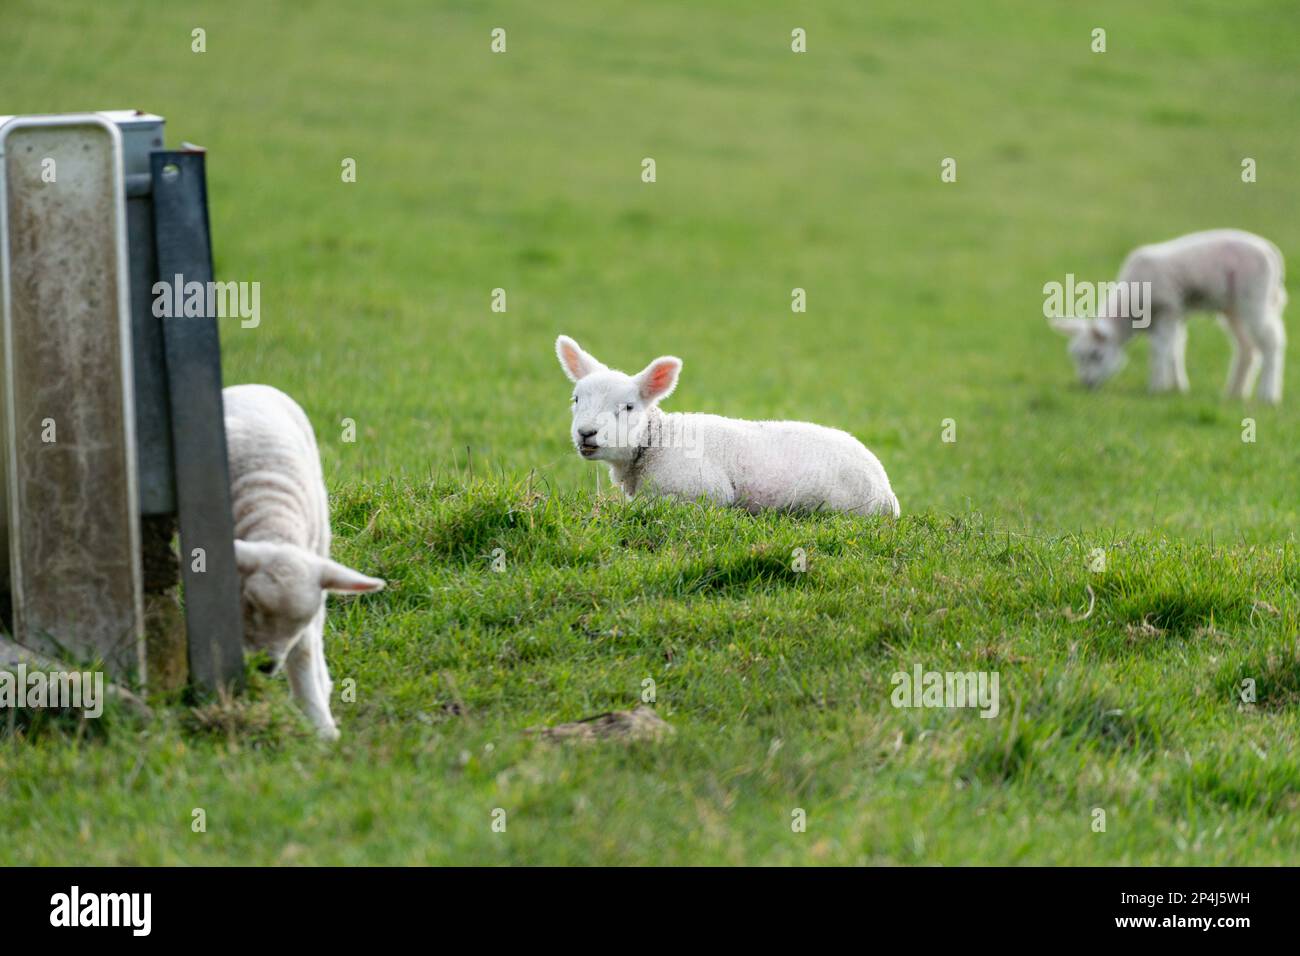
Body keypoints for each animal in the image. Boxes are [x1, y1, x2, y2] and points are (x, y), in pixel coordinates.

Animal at [223, 384, 384, 740]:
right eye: (251, 604)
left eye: (298, 623)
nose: (265, 667)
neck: (271, 517)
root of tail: (251, 386)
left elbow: (305, 653)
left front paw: (322, 726)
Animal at [554, 335, 900, 516]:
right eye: (575, 399)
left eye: (628, 407)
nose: (586, 433)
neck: (657, 441)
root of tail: (887, 490)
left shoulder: (705, 493)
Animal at [1049, 229, 1287, 403]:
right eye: (1077, 357)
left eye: (1096, 355)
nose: (1086, 384)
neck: (1128, 313)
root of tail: (1271, 252)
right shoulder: (1171, 316)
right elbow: (1174, 349)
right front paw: (1176, 387)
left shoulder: (1167, 309)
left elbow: (1160, 350)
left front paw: (1156, 388)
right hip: (1233, 307)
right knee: (1247, 347)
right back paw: (1234, 393)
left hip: (1254, 295)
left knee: (1271, 341)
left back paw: (1268, 396)